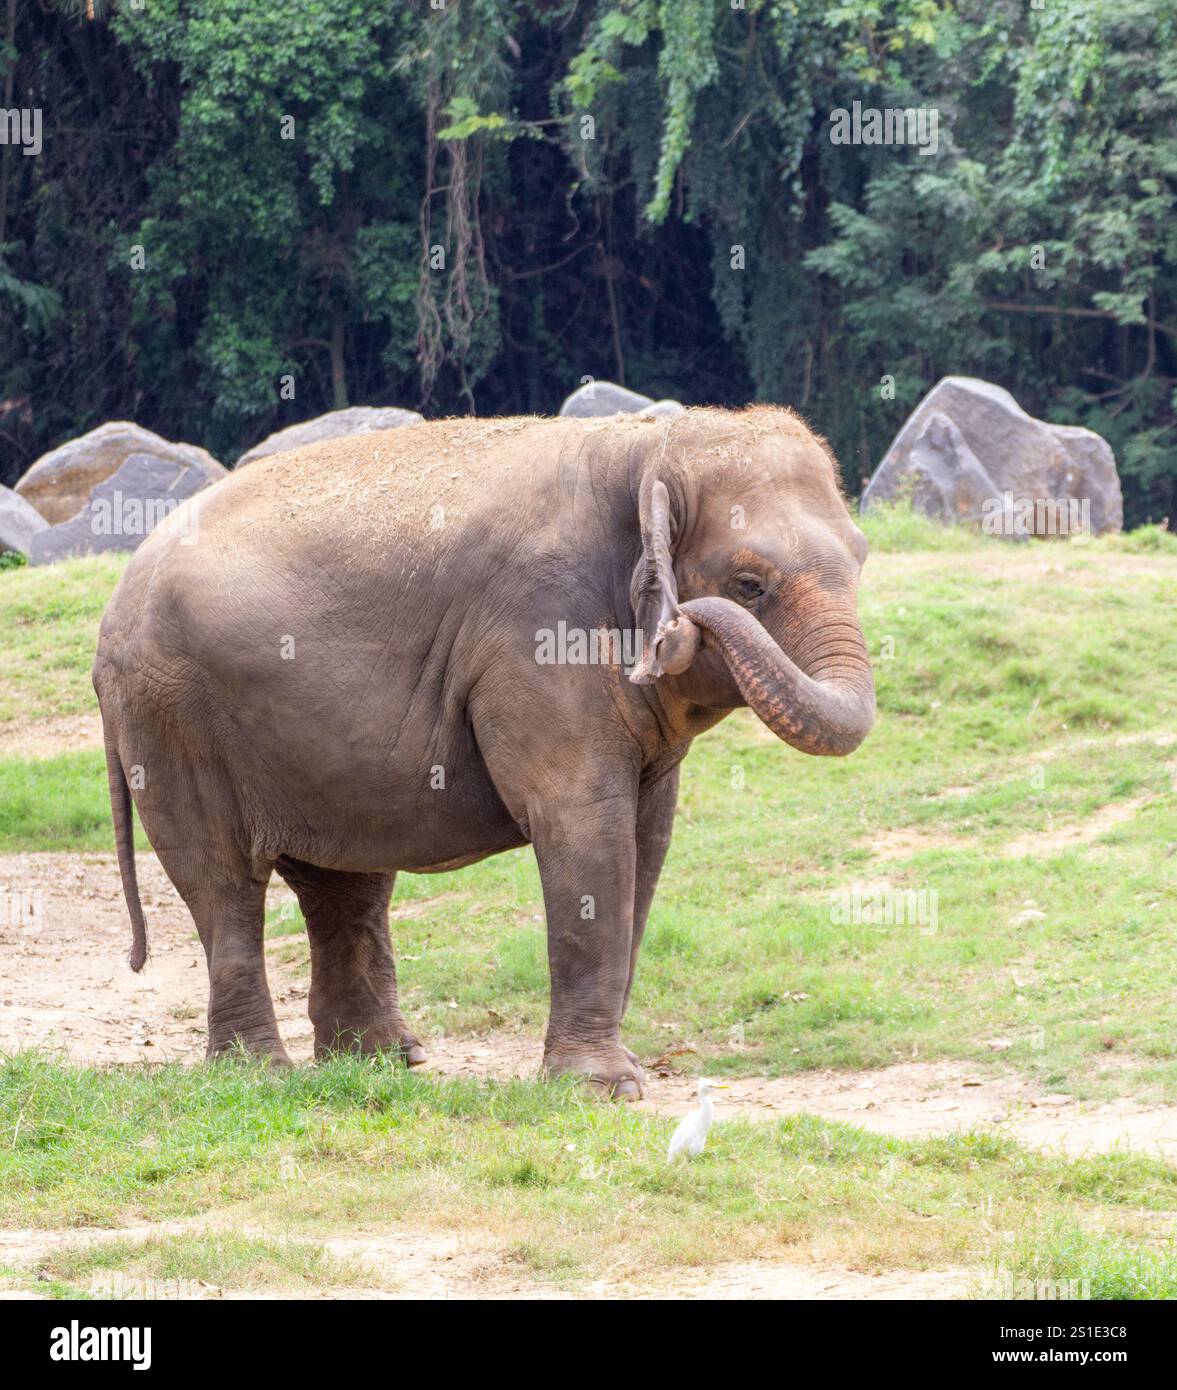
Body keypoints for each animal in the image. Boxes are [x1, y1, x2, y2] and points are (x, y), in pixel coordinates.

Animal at [93, 407, 875, 1098]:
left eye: (861, 557)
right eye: (748, 585)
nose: (683, 626)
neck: (646, 449)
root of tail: (113, 608)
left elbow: (645, 839)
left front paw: (616, 1074)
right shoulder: (536, 634)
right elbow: (582, 823)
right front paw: (602, 1089)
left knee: (343, 881)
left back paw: (382, 1061)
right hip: (171, 714)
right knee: (224, 883)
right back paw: (262, 1073)